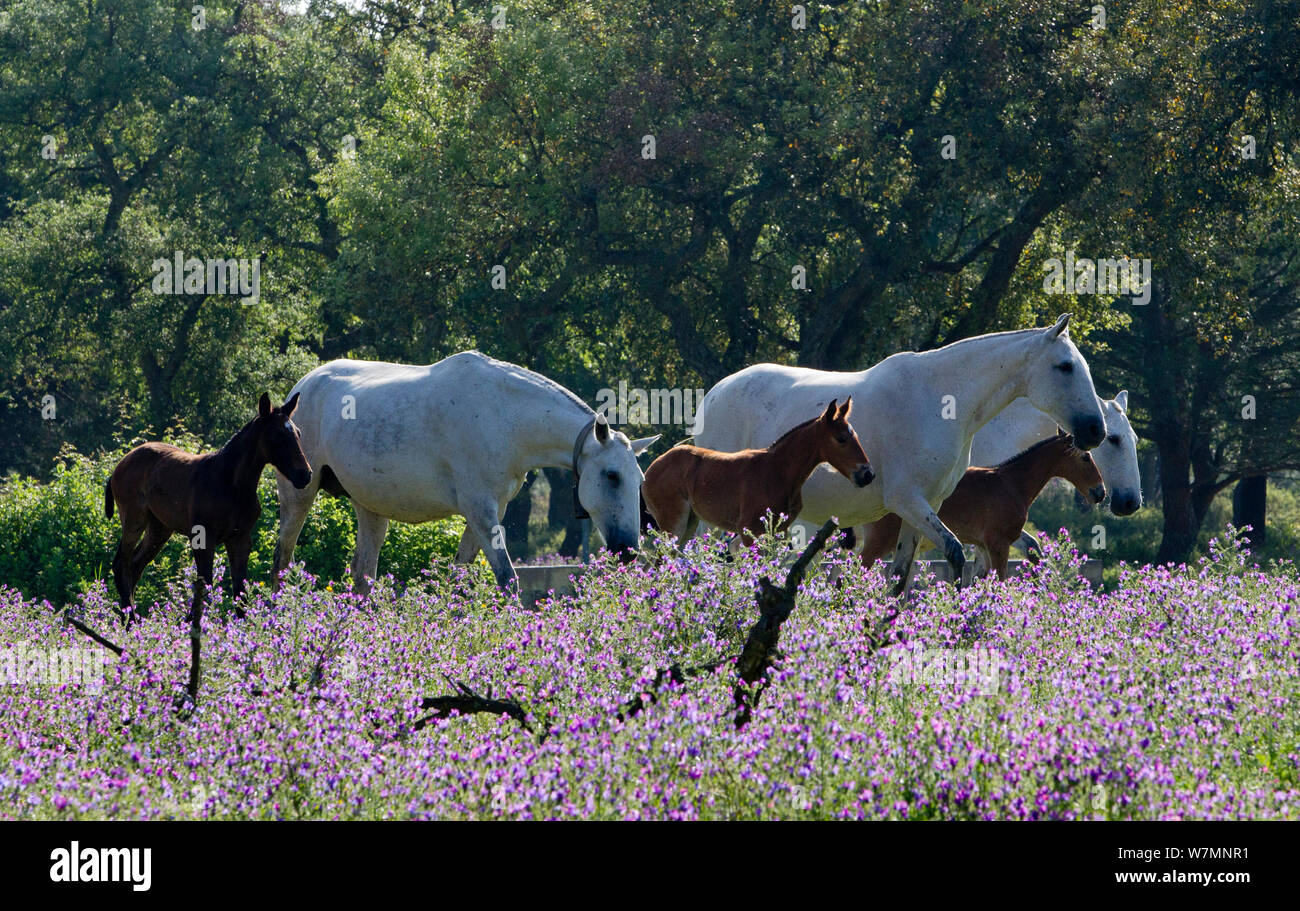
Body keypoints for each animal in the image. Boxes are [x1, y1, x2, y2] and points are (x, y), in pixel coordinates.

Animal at [105, 392, 312, 623]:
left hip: (159, 527)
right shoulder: (203, 539)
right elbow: (206, 588)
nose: (305, 475)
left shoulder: (240, 540)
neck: (231, 484)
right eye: (277, 435)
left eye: (298, 434)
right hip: (134, 518)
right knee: (121, 564)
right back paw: (130, 621)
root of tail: (119, 465)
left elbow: (240, 592)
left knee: (135, 565)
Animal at [272, 352, 659, 593]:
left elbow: (458, 578)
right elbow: (506, 578)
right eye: (612, 475)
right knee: (282, 559)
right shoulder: (480, 510)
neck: (504, 416)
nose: (629, 550)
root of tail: (301, 387)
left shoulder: (489, 512)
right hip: (299, 494)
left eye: (640, 480)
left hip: (370, 508)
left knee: (363, 574)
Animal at [642, 398, 874, 545]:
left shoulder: (777, 532)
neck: (777, 470)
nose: (867, 474)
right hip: (674, 524)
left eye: (856, 436)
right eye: (841, 439)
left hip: (689, 524)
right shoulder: (749, 531)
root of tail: (649, 470)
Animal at [856, 432, 1104, 581]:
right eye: (1085, 457)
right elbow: (1001, 582)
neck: (1011, 483)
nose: (1100, 492)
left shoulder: (984, 545)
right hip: (879, 542)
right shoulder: (998, 544)